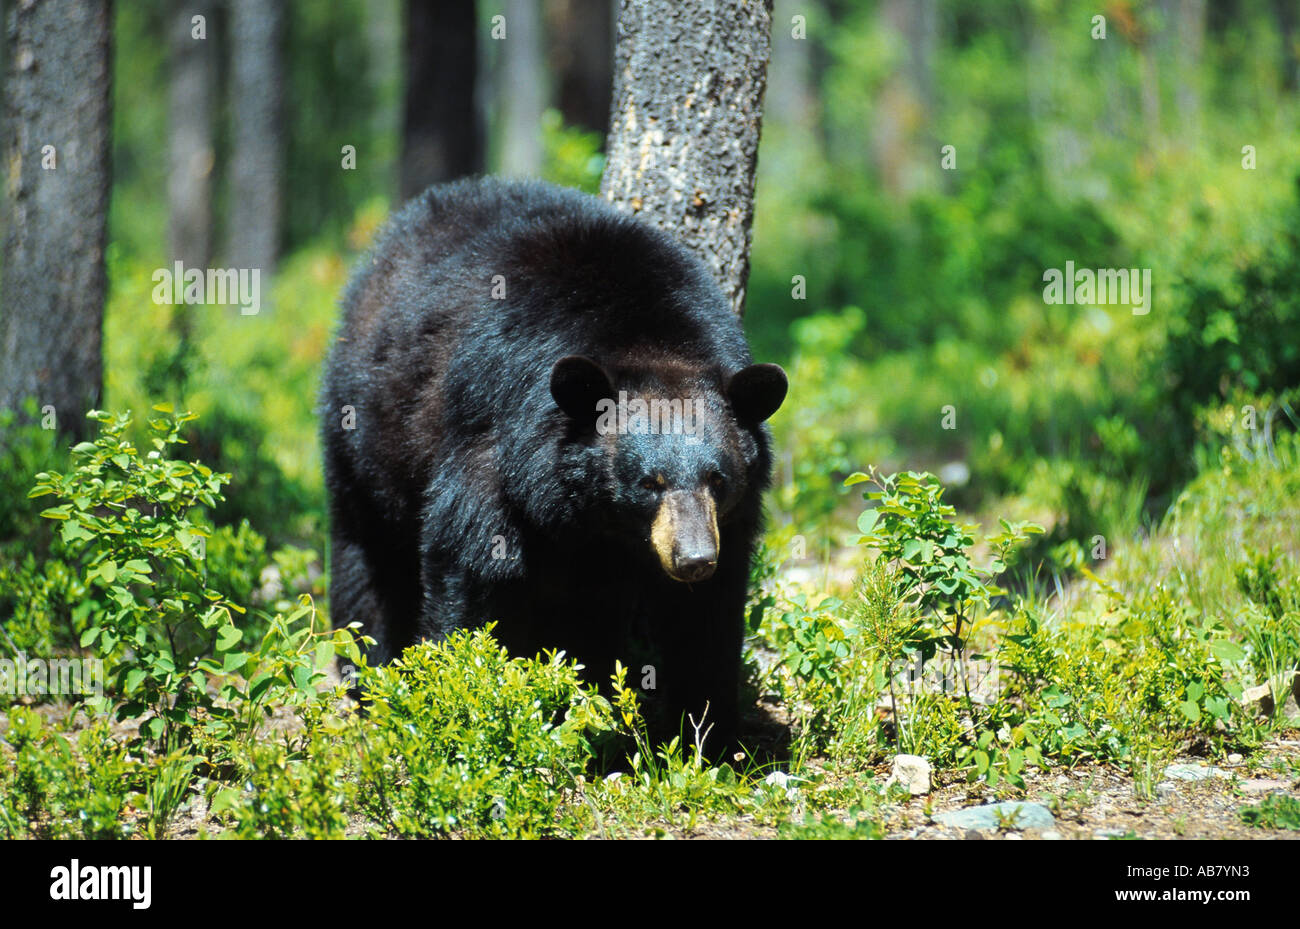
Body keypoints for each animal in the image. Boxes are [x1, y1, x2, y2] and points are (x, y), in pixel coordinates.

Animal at [320, 177, 786, 750]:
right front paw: (460, 701)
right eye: (648, 483)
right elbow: (472, 567)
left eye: (718, 479)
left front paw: (710, 737)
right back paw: (370, 679)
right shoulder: (493, 443)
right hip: (363, 435)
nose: (693, 558)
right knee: (367, 556)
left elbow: (707, 616)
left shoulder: (728, 521)